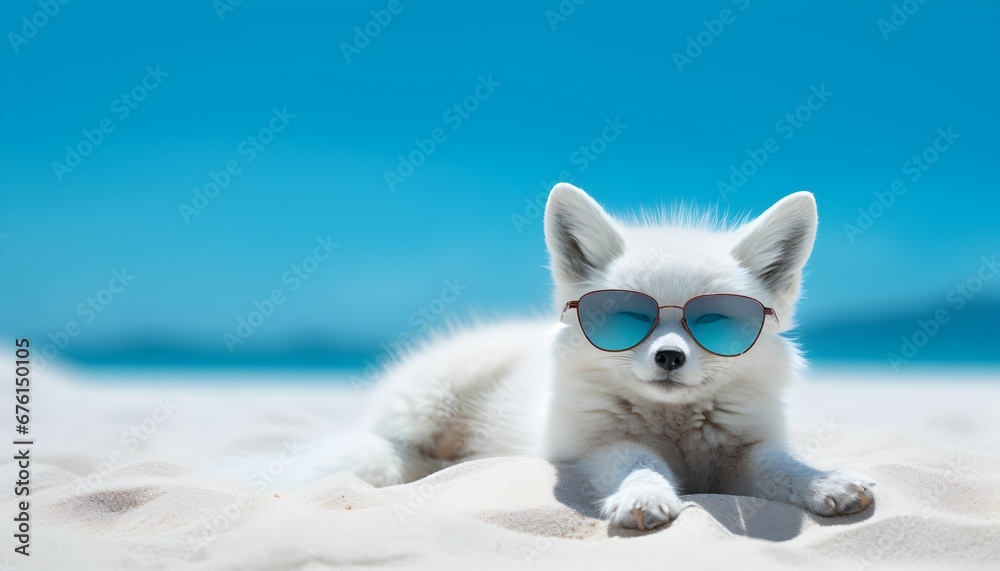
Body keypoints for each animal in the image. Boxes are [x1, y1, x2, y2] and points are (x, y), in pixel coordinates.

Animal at [326, 183, 873, 530]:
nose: (669, 358)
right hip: (426, 409)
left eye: (714, 320)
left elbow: (782, 467)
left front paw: (826, 482)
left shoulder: (748, 448)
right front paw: (645, 493)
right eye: (626, 316)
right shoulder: (596, 444)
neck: (675, 426)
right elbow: (639, 461)